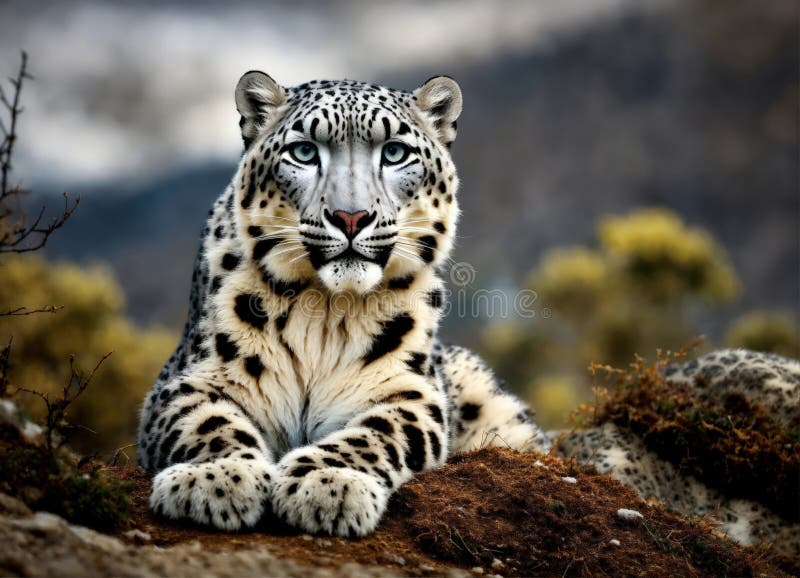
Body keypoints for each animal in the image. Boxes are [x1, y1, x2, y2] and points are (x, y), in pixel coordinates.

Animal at [137, 71, 550, 537]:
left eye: (394, 152)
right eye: (303, 151)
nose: (350, 217)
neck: (325, 313)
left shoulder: (409, 390)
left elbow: (376, 433)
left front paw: (326, 484)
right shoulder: (190, 378)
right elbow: (208, 423)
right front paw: (215, 479)